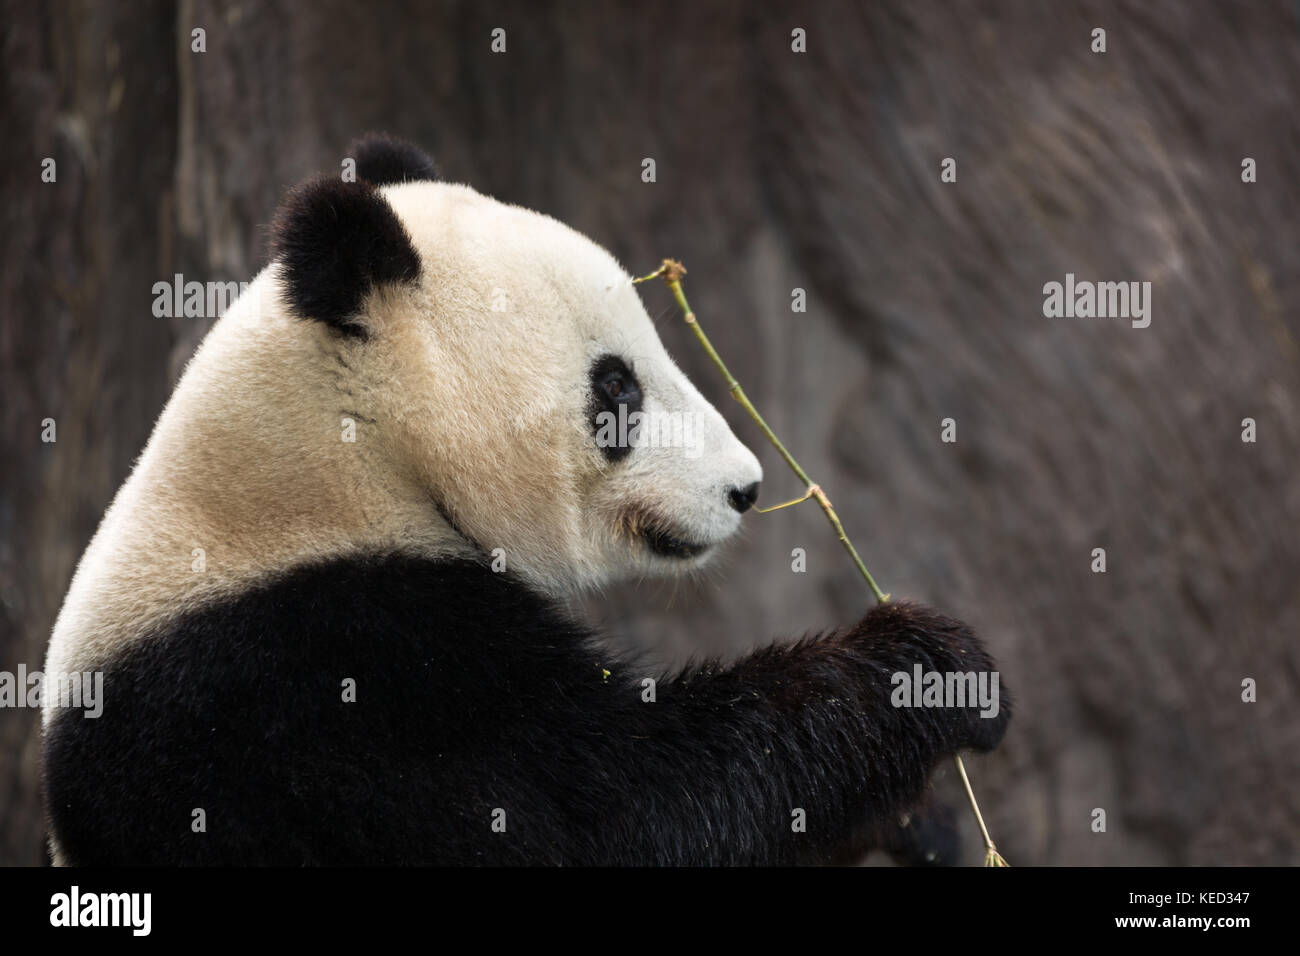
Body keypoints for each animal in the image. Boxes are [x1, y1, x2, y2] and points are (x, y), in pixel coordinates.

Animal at [41, 134, 1009, 866]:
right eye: (615, 386)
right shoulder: (322, 680)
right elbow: (624, 813)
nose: (745, 487)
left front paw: (929, 821)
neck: (346, 468)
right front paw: (932, 667)